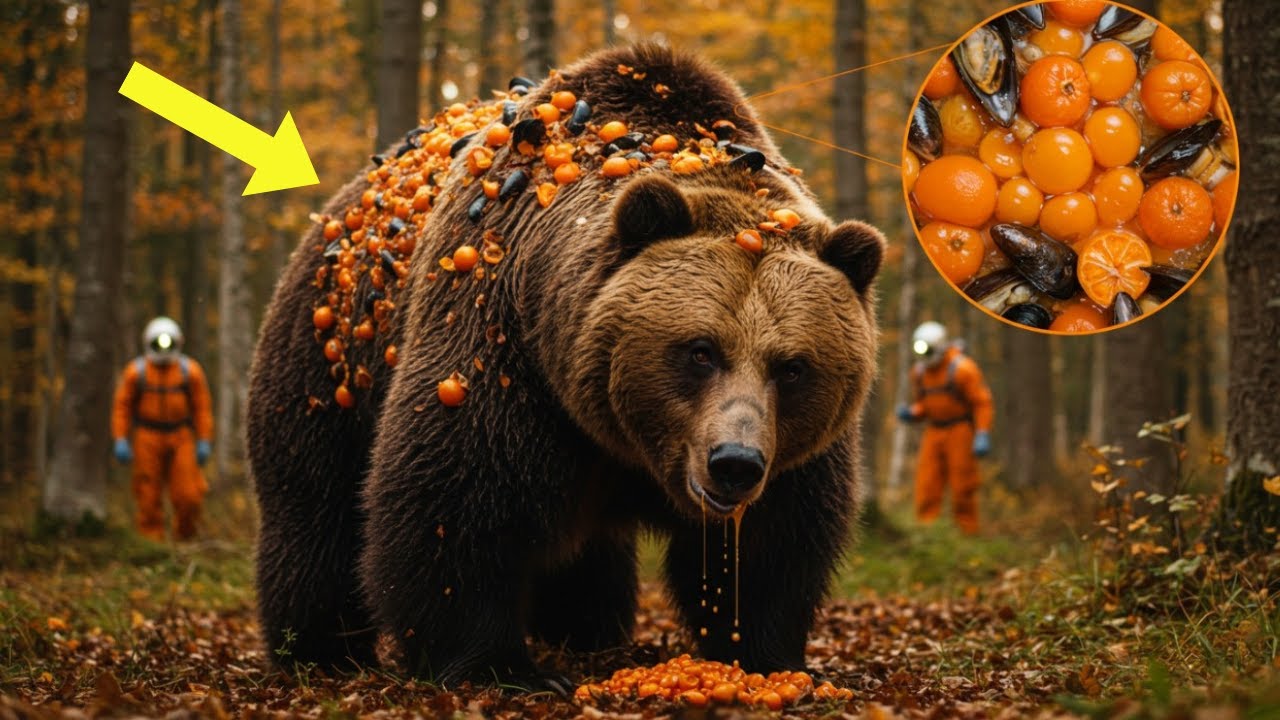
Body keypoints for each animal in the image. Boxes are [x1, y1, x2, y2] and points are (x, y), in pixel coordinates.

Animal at [247, 43, 885, 689]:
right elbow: (455, 501)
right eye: (700, 350)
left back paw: (585, 629)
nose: (734, 463)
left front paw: (762, 655)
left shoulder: (789, 452)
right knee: (315, 509)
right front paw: (497, 664)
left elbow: (772, 541)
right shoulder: (502, 342)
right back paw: (317, 646)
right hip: (334, 355)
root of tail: (343, 204)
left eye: (792, 366)